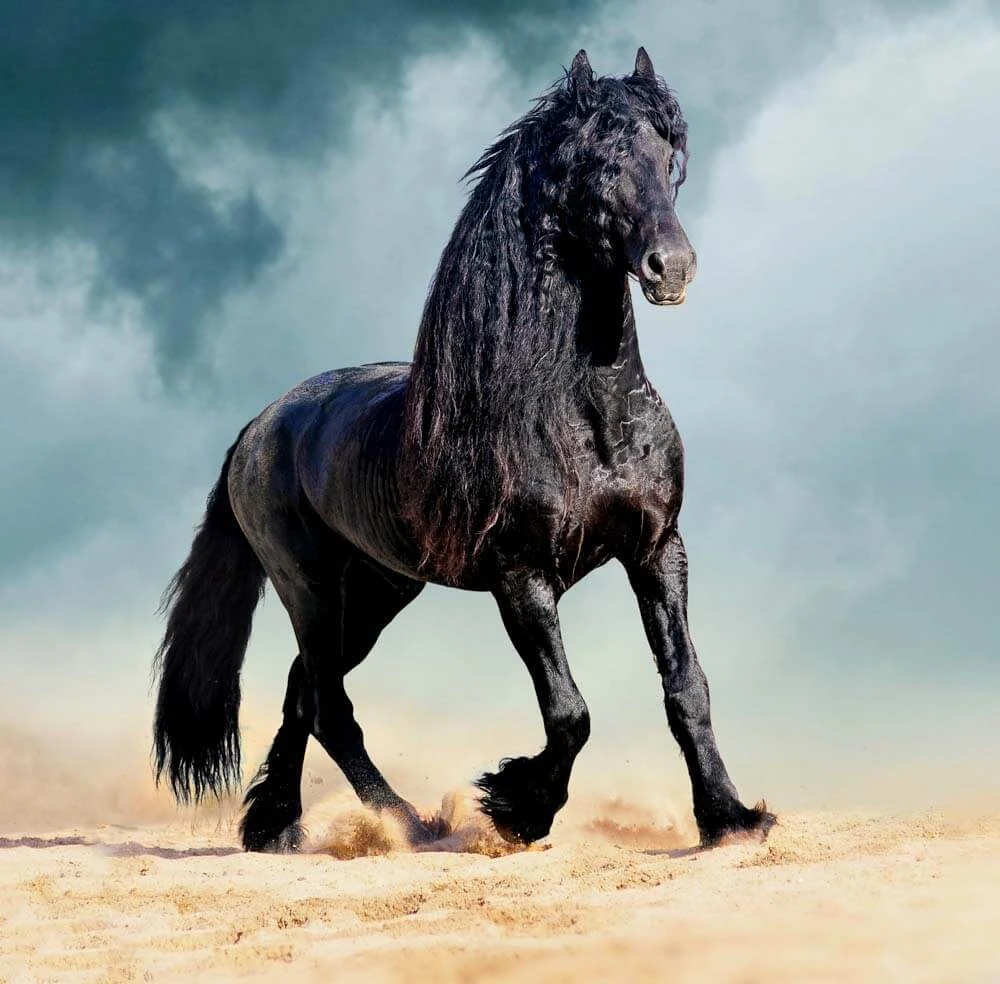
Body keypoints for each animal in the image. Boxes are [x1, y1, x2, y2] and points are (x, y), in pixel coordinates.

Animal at [152, 47, 775, 852]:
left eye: (669, 159)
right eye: (602, 160)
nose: (673, 267)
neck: (586, 417)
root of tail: (261, 426)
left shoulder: (658, 551)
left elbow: (686, 688)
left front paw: (730, 819)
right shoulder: (522, 578)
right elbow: (570, 711)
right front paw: (515, 808)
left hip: (379, 591)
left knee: (303, 695)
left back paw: (283, 827)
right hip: (310, 590)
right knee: (327, 702)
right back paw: (407, 825)